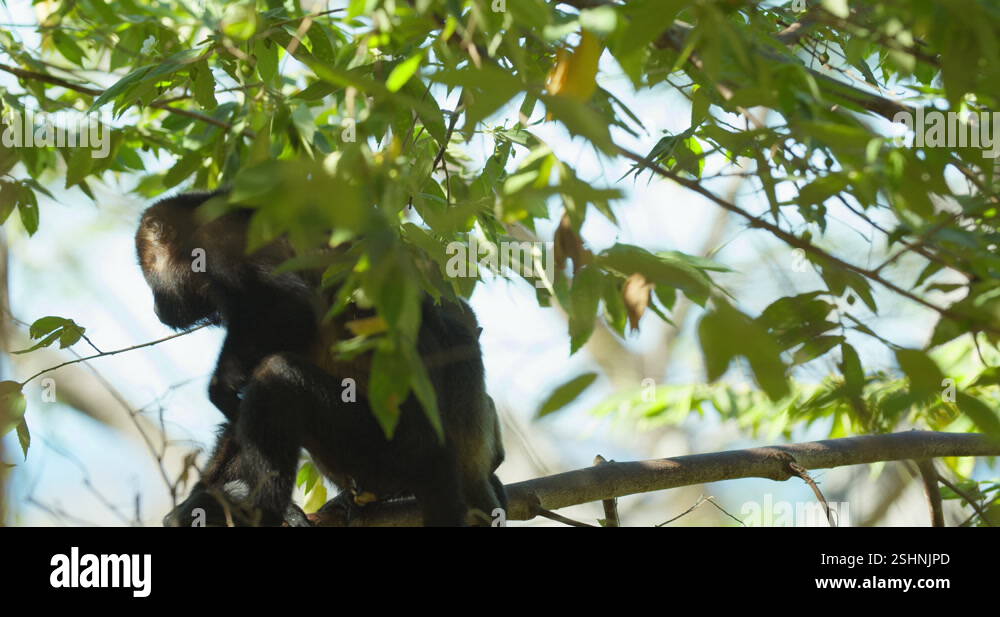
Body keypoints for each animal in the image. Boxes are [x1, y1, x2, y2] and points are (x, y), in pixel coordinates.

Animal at [136, 190, 506, 526]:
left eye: (149, 275)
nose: (153, 308)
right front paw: (194, 504)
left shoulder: (220, 246)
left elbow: (290, 309)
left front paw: (220, 386)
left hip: (384, 450)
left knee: (278, 374)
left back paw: (262, 512)